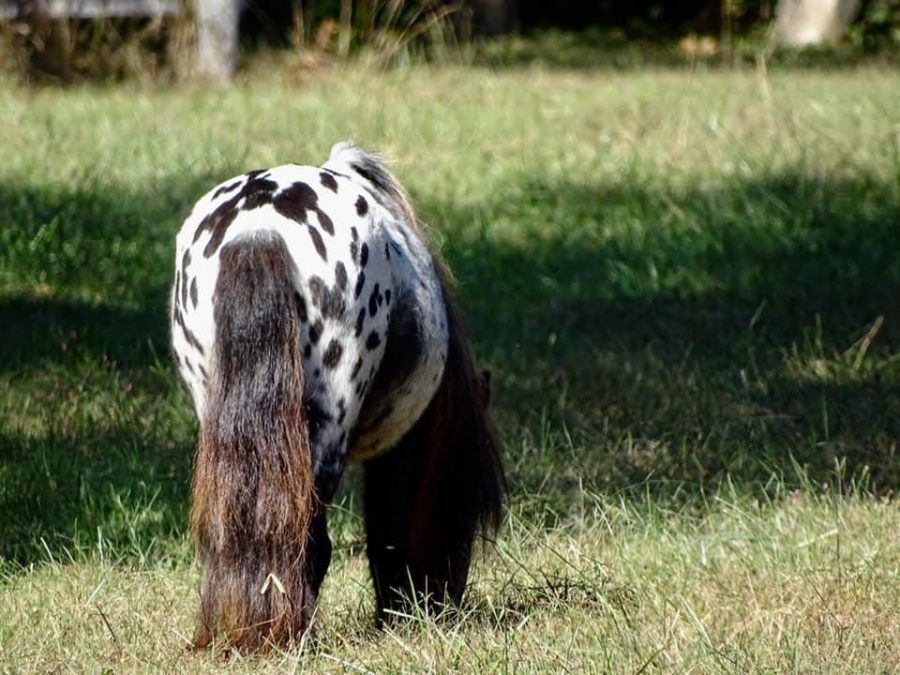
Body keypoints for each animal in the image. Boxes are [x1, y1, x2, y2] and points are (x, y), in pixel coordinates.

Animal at [170, 142, 505, 651]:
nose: (441, 603)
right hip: (326, 430)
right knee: (307, 537)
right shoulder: (398, 443)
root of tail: (258, 230)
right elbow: (387, 526)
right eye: (463, 510)